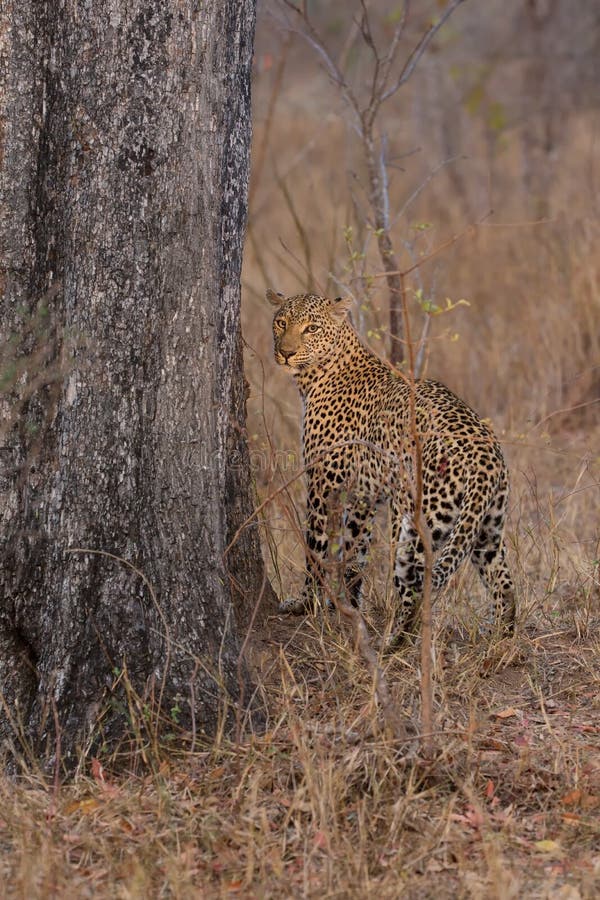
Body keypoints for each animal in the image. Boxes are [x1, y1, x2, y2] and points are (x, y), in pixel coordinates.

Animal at [267, 289, 516, 650]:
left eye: (311, 328)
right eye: (281, 322)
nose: (285, 353)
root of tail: (484, 453)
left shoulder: (324, 485)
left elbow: (315, 549)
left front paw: (306, 605)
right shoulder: (364, 497)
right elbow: (355, 555)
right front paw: (347, 606)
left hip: (418, 523)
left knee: (416, 588)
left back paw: (394, 642)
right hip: (488, 525)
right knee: (504, 583)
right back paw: (500, 638)